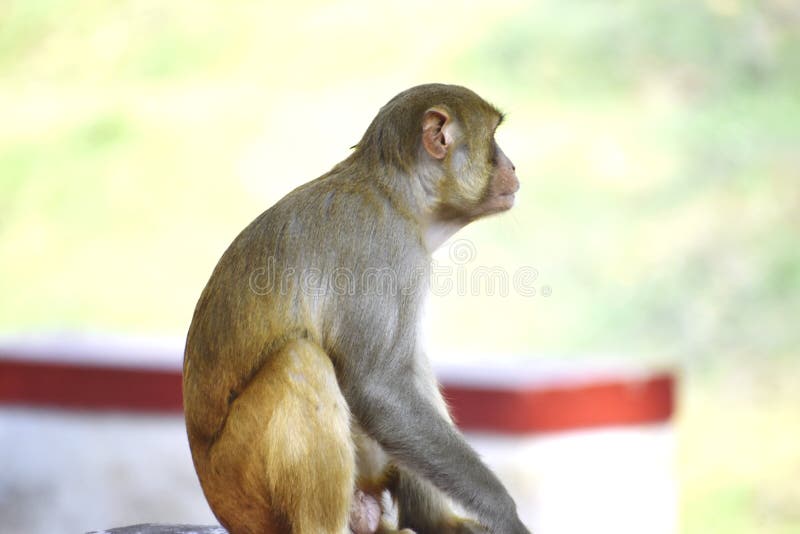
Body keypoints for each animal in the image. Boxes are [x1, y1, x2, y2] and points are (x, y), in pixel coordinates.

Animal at [183, 83, 528, 534]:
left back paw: (433, 520)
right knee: (301, 361)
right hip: (243, 488)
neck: (397, 195)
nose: (513, 166)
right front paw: (505, 512)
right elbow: (376, 388)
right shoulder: (386, 249)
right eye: (493, 140)